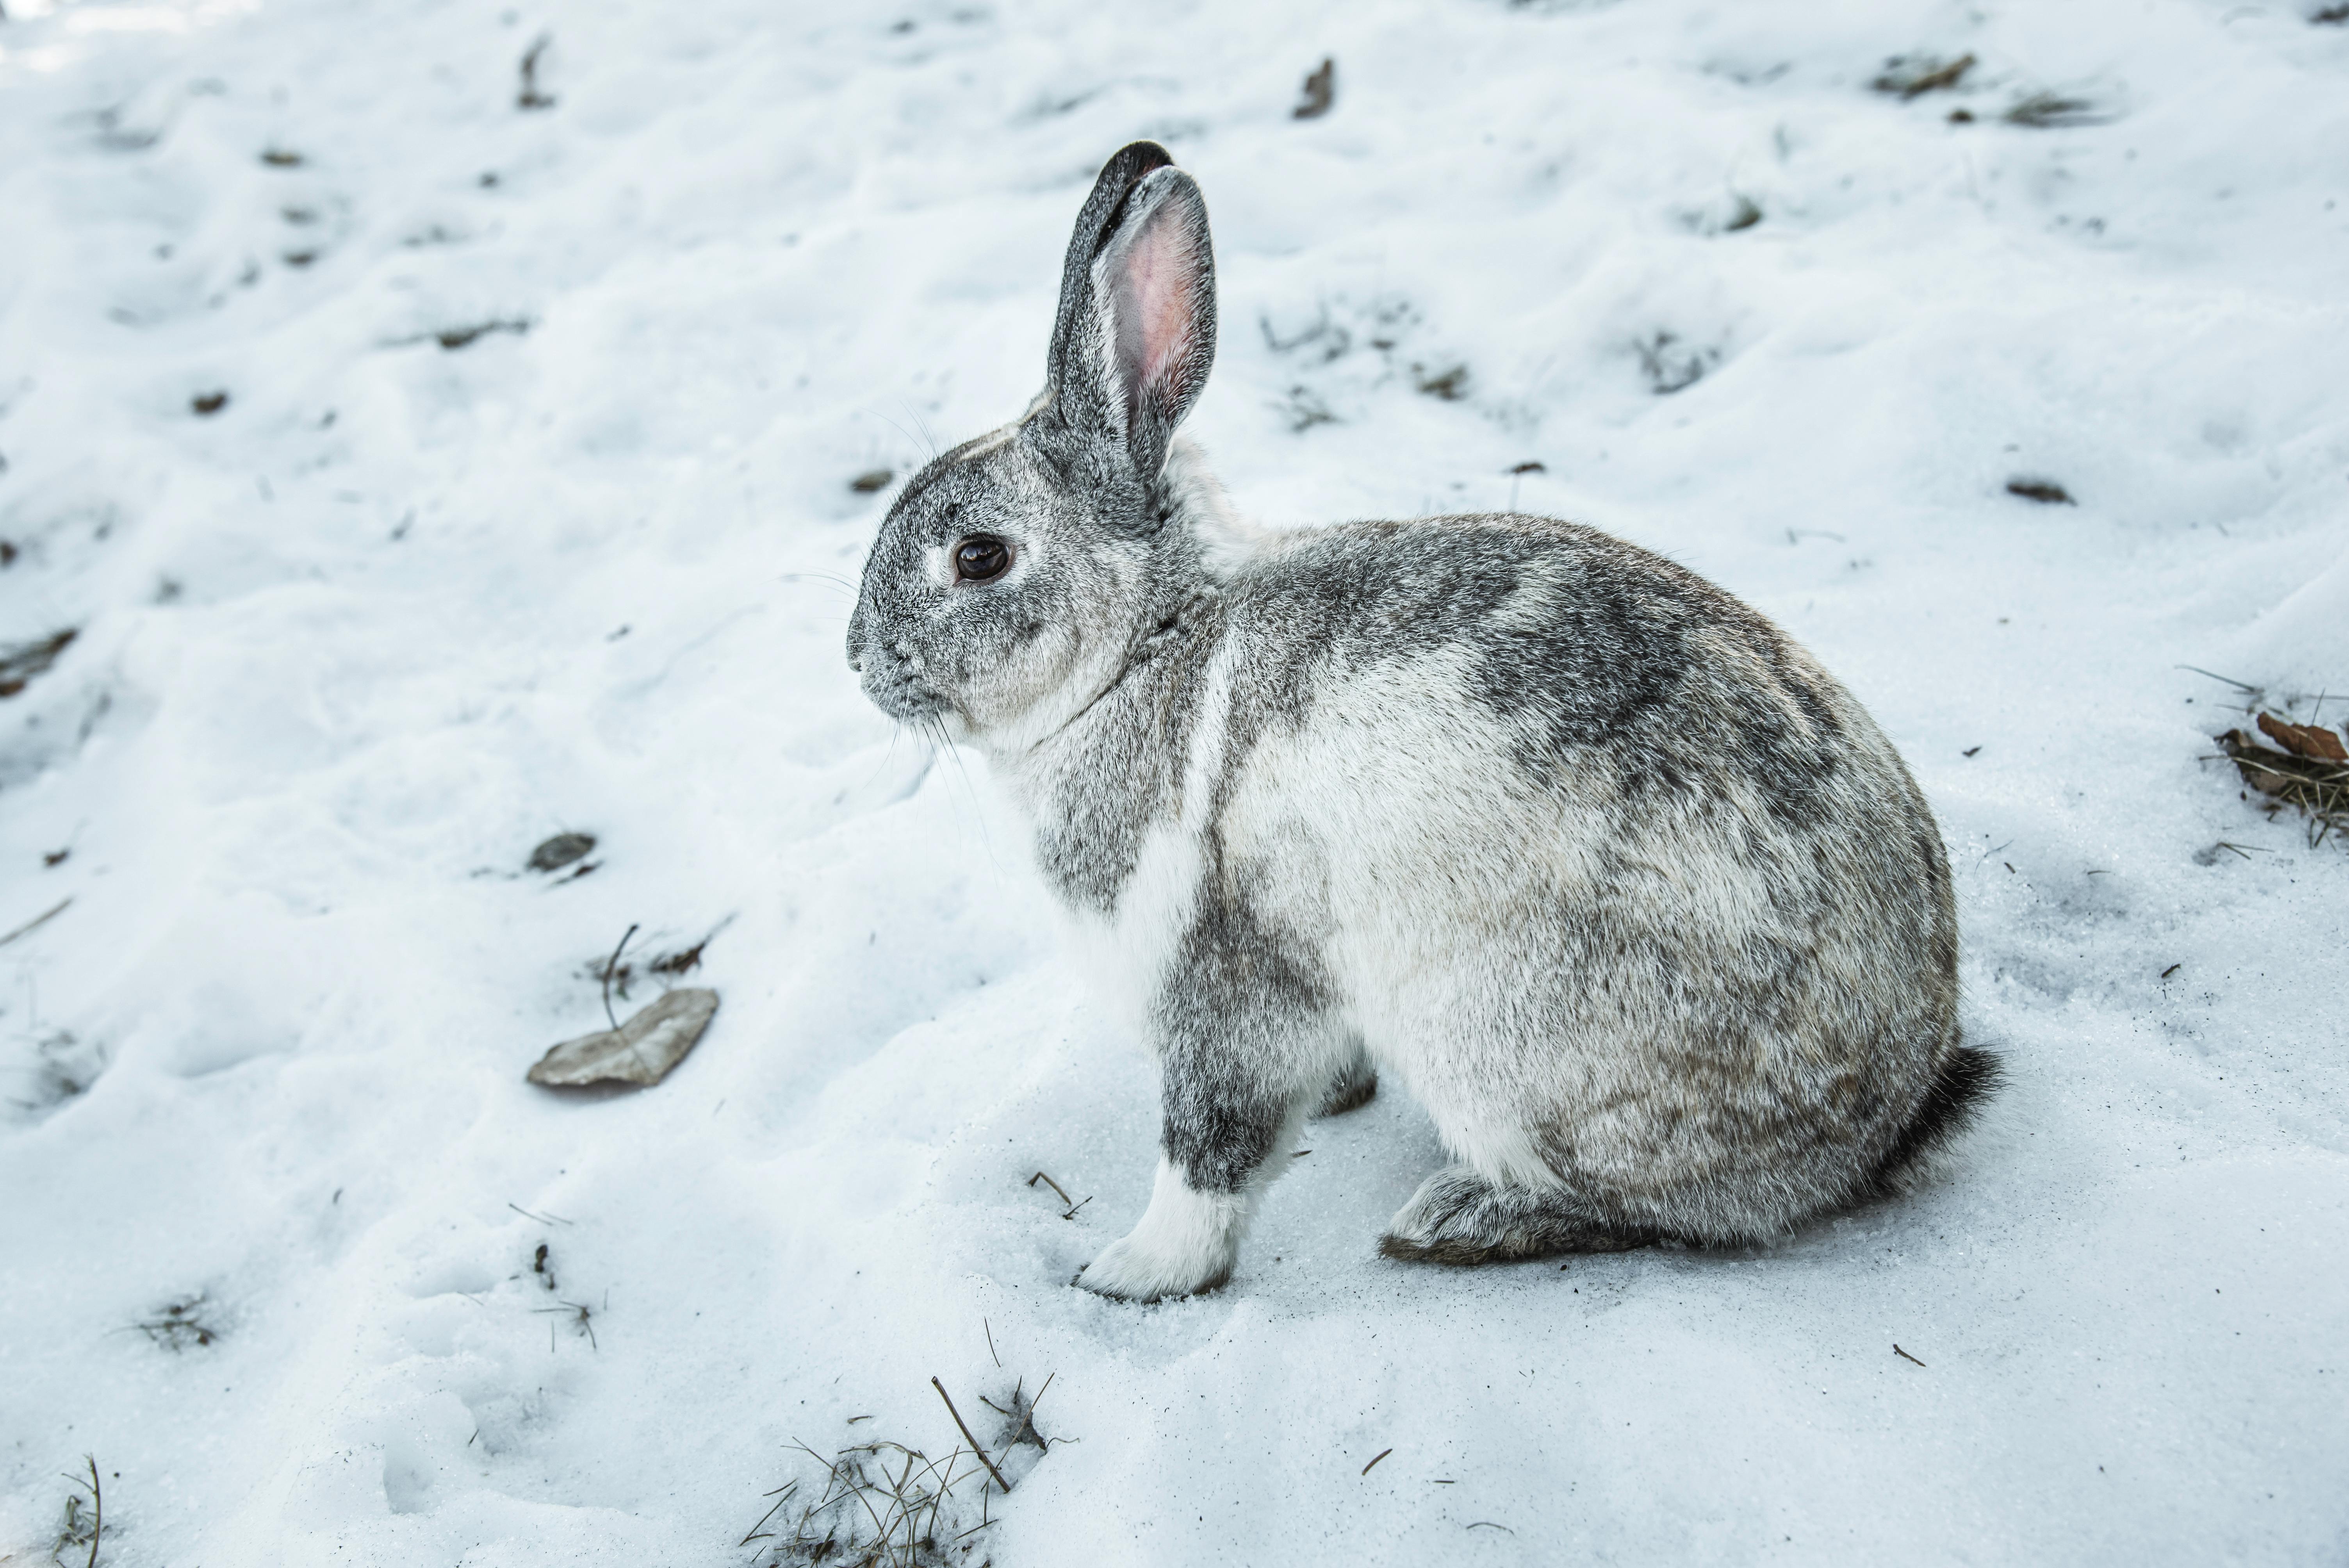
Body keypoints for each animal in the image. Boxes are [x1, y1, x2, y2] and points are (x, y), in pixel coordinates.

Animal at [846, 141, 1997, 1302]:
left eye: (980, 556)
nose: (858, 660)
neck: (1147, 646)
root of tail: (1884, 1117)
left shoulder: (1219, 982)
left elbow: (1209, 1148)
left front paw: (1134, 1271)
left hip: (1509, 1047)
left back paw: (1458, 1218)